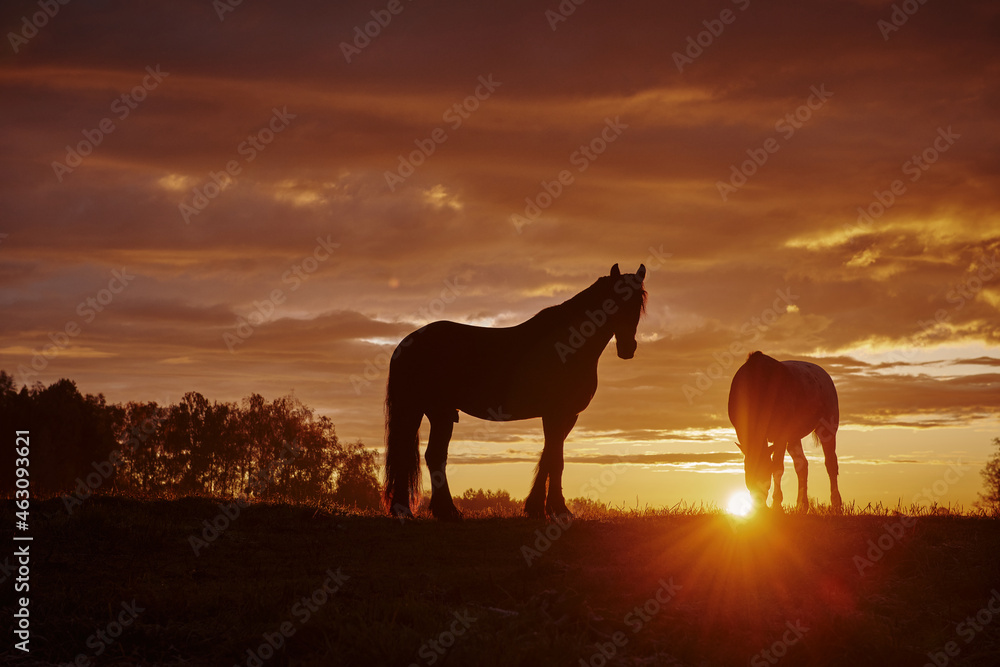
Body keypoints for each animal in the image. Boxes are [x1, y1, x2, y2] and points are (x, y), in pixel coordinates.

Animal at [383, 263, 647, 520]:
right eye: (614, 302)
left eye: (639, 304)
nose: (628, 348)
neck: (570, 343)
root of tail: (406, 344)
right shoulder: (555, 414)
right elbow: (555, 460)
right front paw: (559, 509)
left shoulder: (567, 416)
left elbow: (548, 458)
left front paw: (536, 507)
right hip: (426, 411)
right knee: (423, 455)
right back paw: (422, 510)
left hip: (434, 413)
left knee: (428, 455)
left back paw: (434, 510)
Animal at [728, 351, 843, 512]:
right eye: (748, 472)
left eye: (765, 472)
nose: (760, 505)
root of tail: (825, 375)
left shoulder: (780, 435)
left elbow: (778, 467)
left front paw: (777, 504)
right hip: (794, 436)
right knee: (802, 465)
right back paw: (802, 505)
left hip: (827, 428)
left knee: (831, 464)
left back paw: (836, 503)